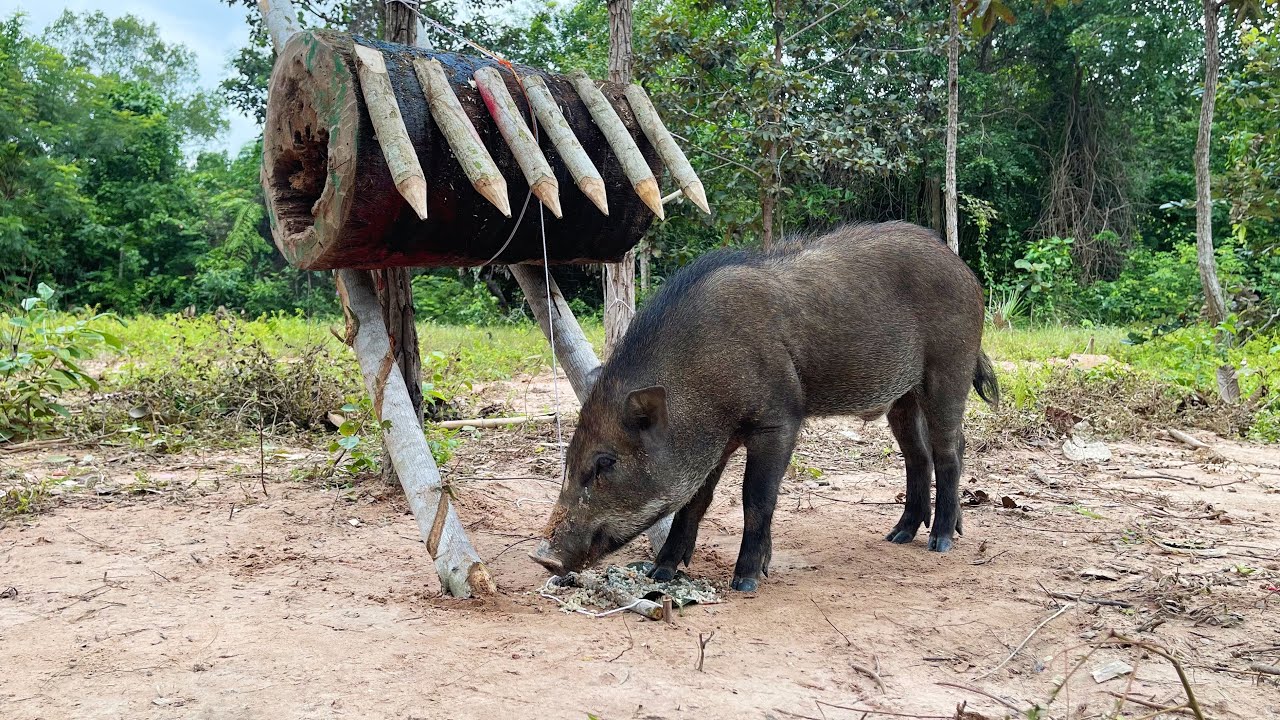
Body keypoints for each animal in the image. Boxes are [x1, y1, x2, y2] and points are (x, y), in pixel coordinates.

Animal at [530, 221, 999, 592]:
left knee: (948, 449)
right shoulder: (716, 443)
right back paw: (899, 536)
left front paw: (746, 581)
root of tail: (964, 270)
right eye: (569, 457)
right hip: (901, 397)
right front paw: (660, 573)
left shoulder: (779, 420)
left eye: (605, 462)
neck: (703, 377)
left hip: (949, 370)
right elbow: (695, 501)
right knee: (920, 454)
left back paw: (941, 542)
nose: (542, 557)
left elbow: (755, 498)